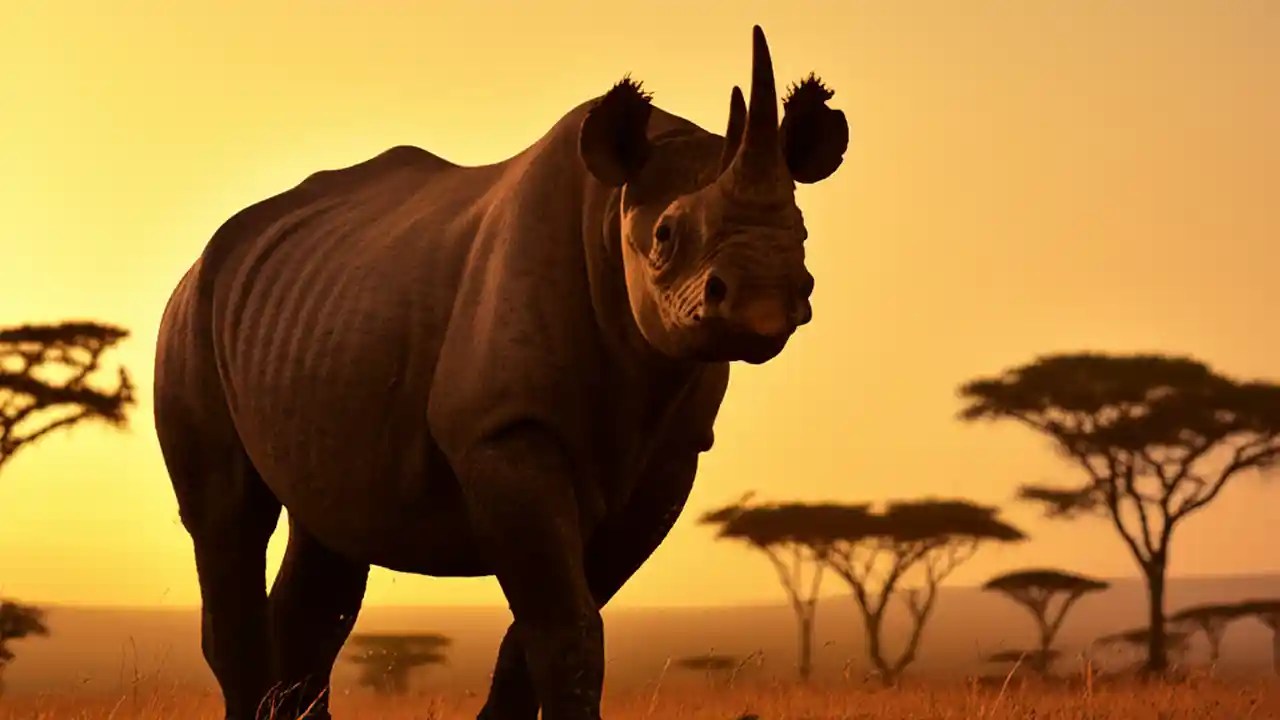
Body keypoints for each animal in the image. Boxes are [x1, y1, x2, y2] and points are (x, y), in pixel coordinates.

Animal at [153, 25, 848, 720]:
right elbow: (565, 624)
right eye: (666, 236)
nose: (764, 298)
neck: (610, 211)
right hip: (193, 311)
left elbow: (548, 623)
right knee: (228, 518)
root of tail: (208, 253)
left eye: (802, 231)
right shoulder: (501, 429)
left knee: (327, 533)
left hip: (316, 317)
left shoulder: (670, 458)